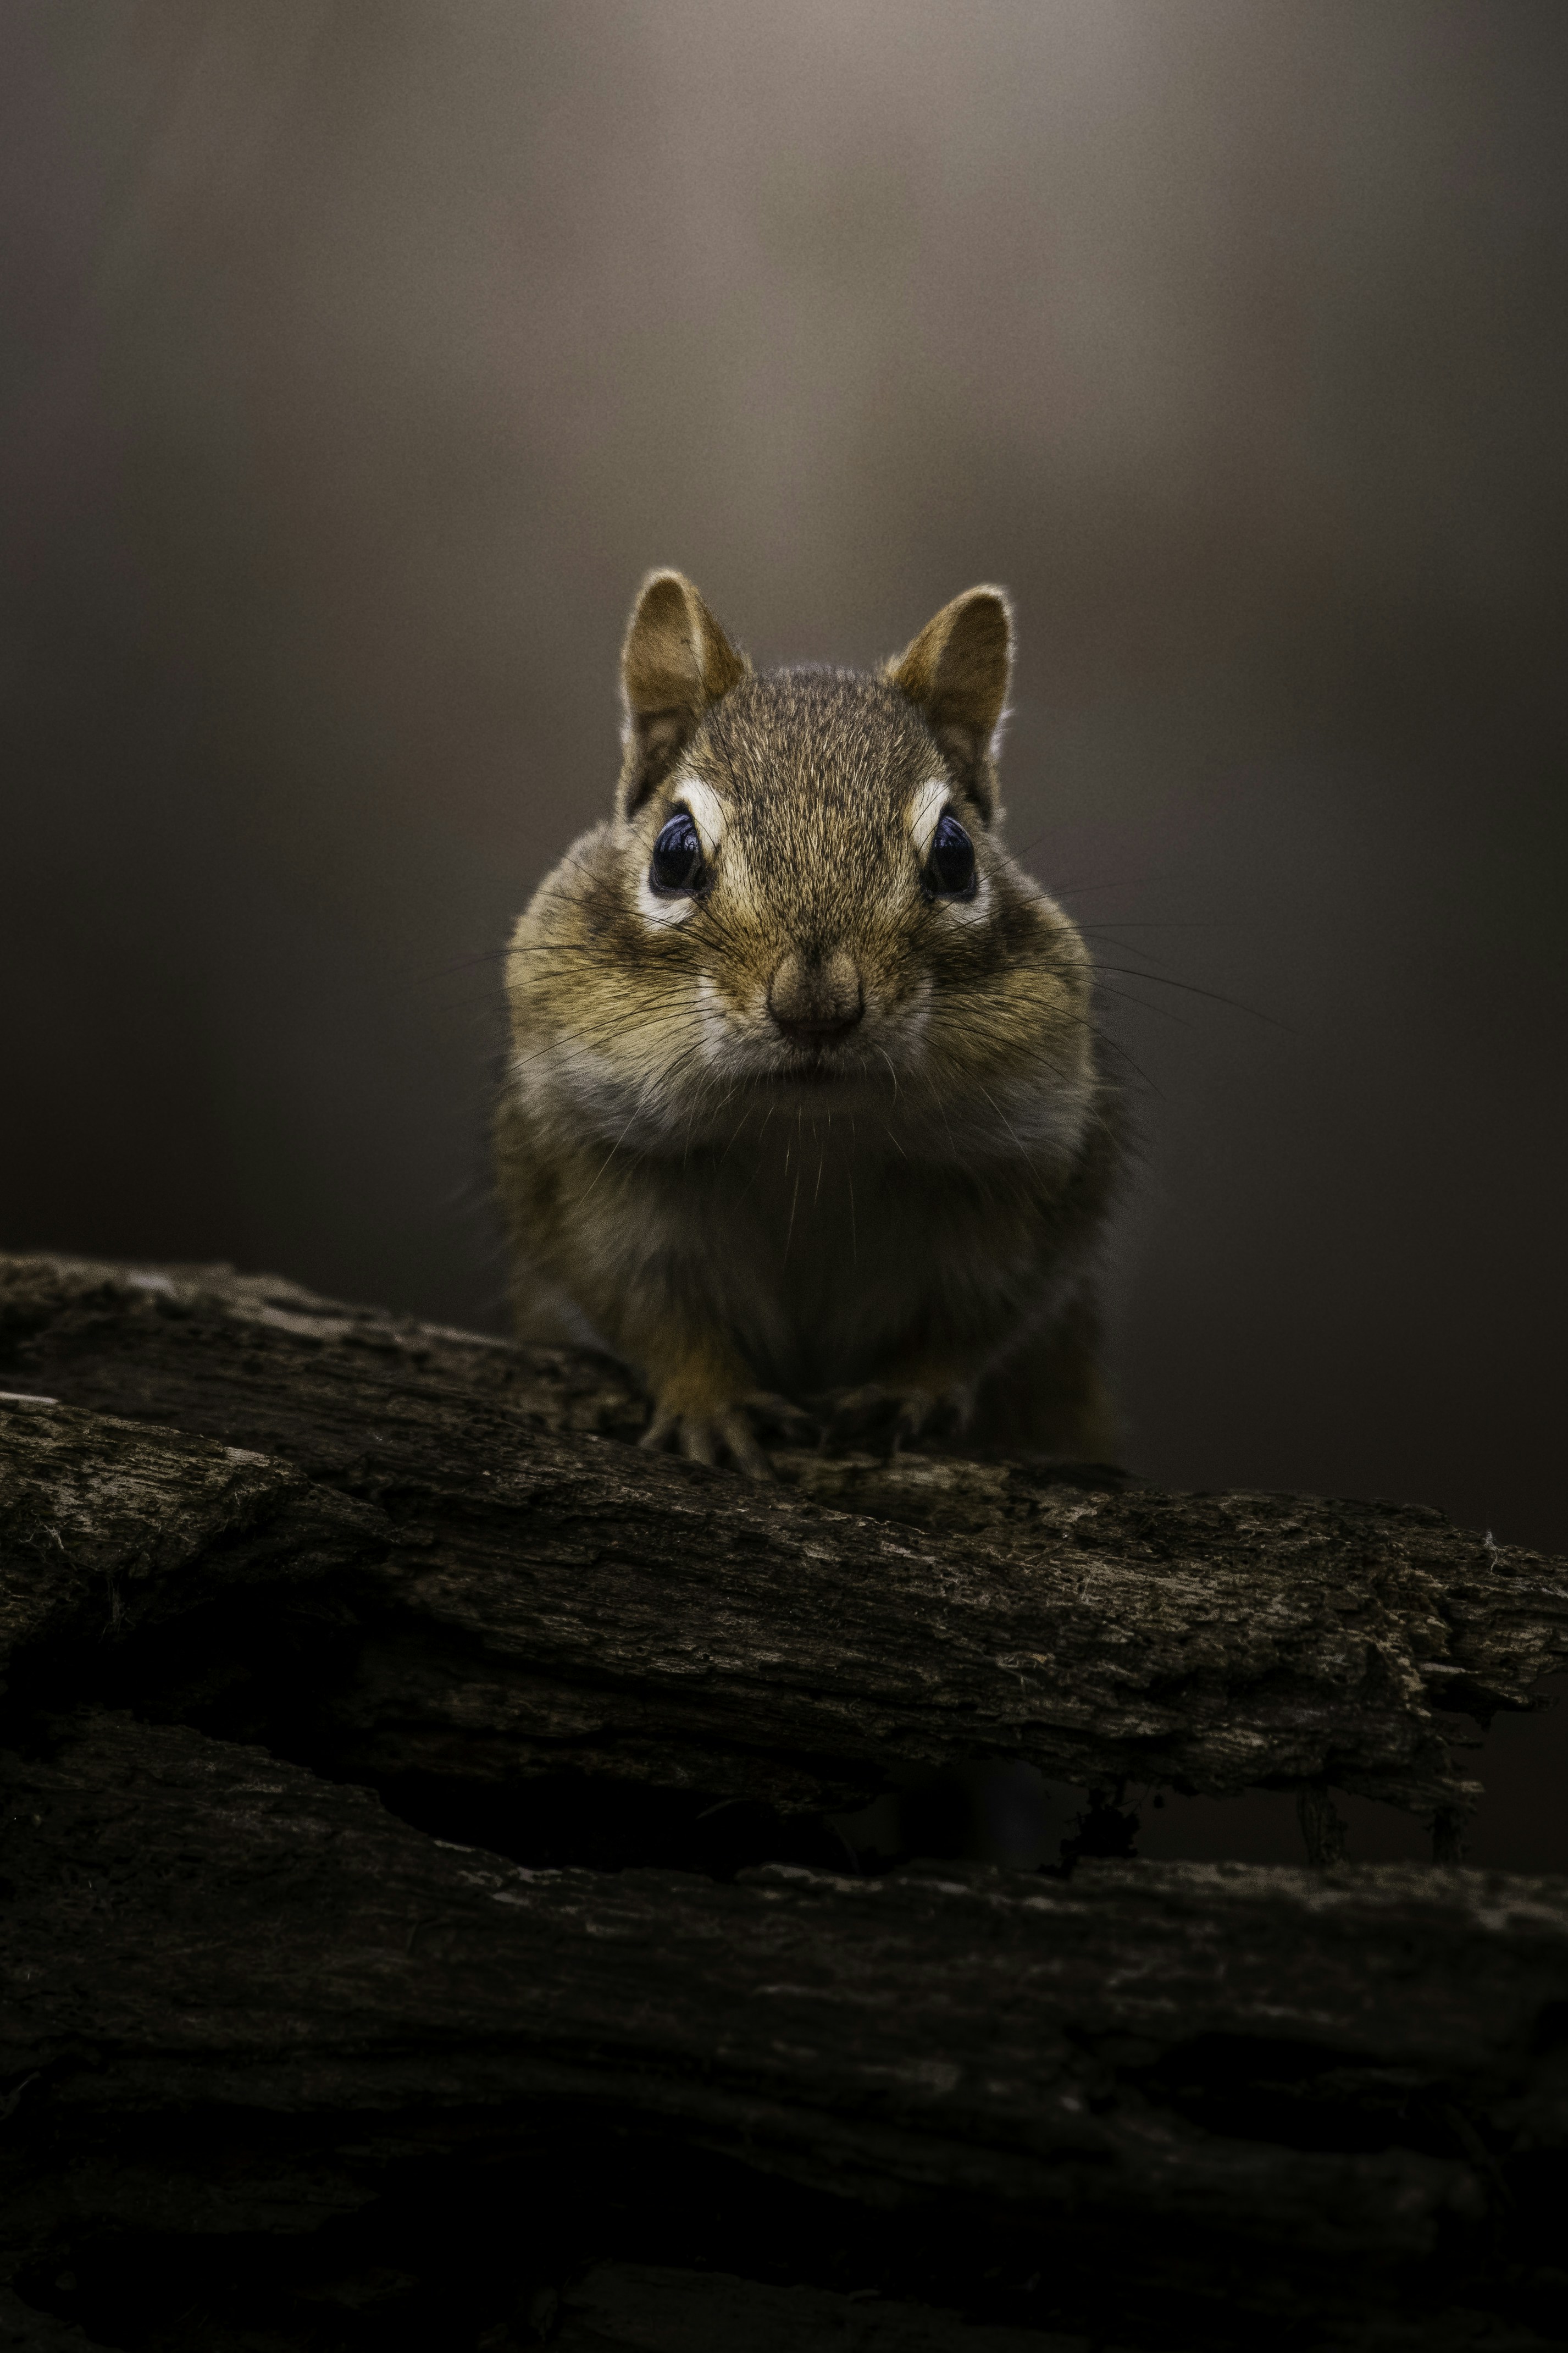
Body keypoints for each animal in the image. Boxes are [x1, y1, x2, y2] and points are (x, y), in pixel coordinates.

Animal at [495, 570, 1120, 1477]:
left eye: (957, 855)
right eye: (673, 853)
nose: (817, 1010)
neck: (806, 1134)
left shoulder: (1035, 1170)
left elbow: (976, 1319)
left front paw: (911, 1388)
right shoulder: (584, 1166)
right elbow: (651, 1312)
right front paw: (708, 1403)